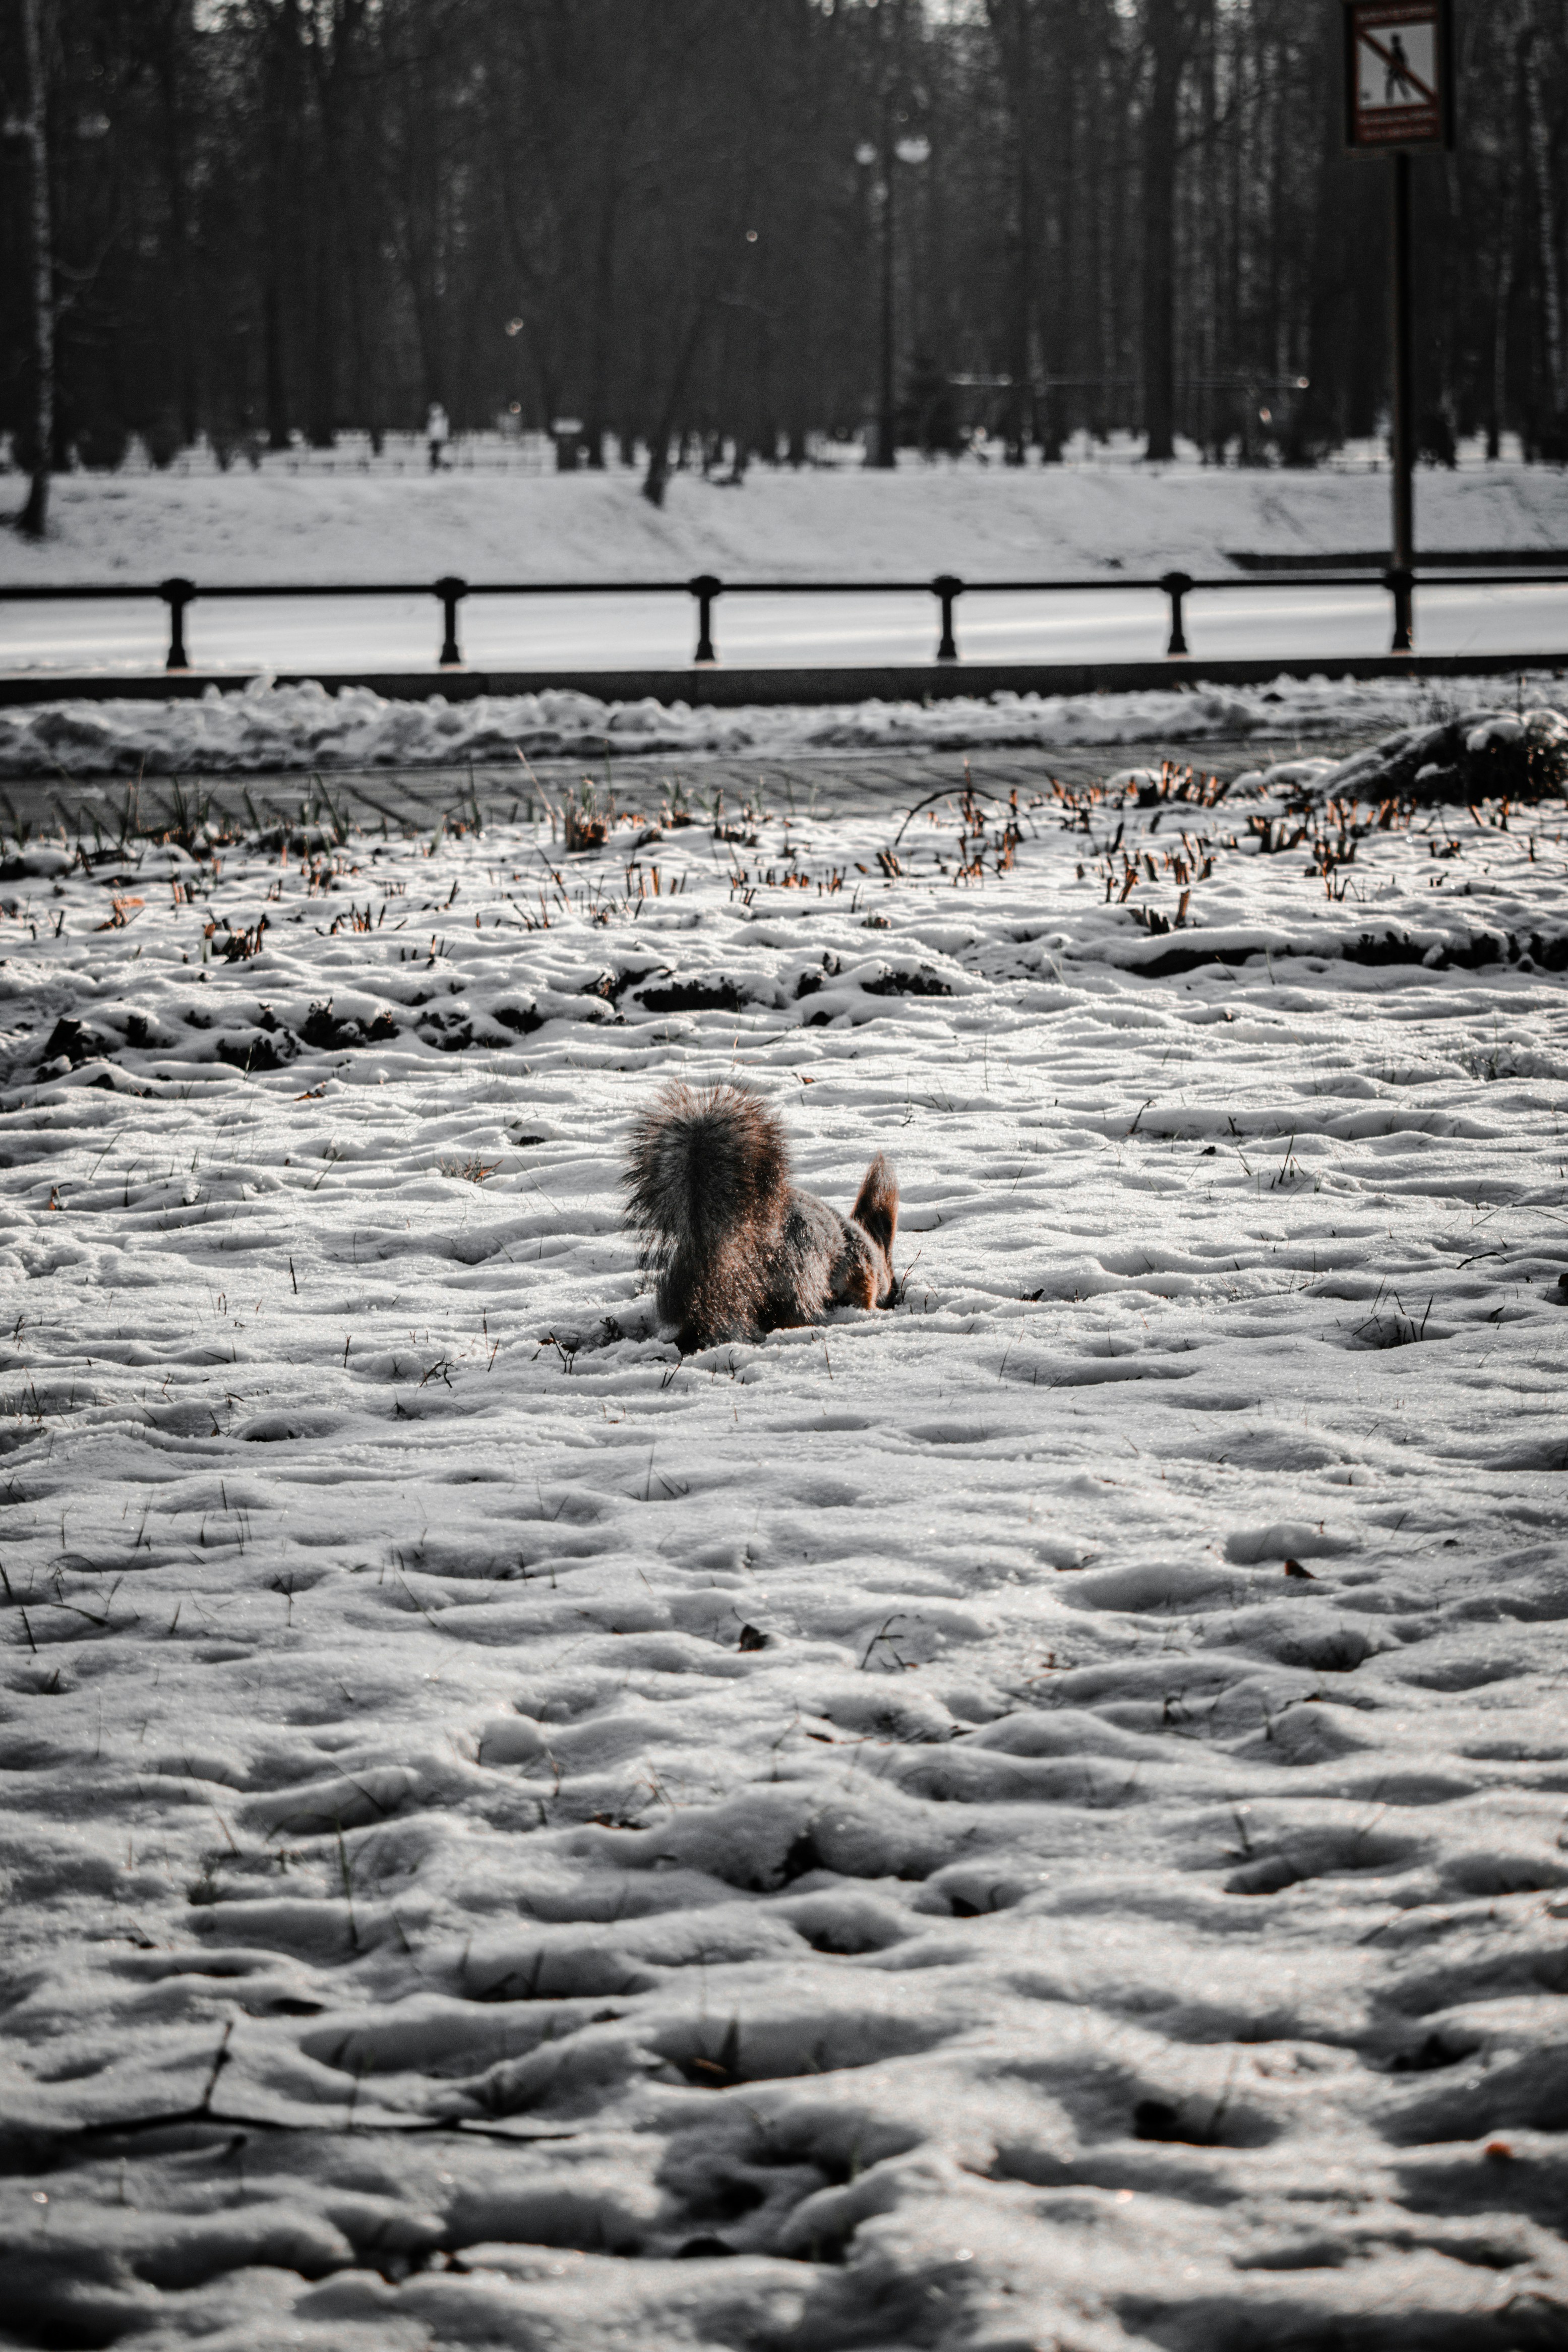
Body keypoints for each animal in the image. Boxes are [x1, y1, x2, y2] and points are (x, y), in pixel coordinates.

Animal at [624, 1080, 898, 1352]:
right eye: (890, 1272)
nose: (894, 1293)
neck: (865, 1244)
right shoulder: (859, 1273)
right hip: (797, 1272)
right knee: (791, 1314)